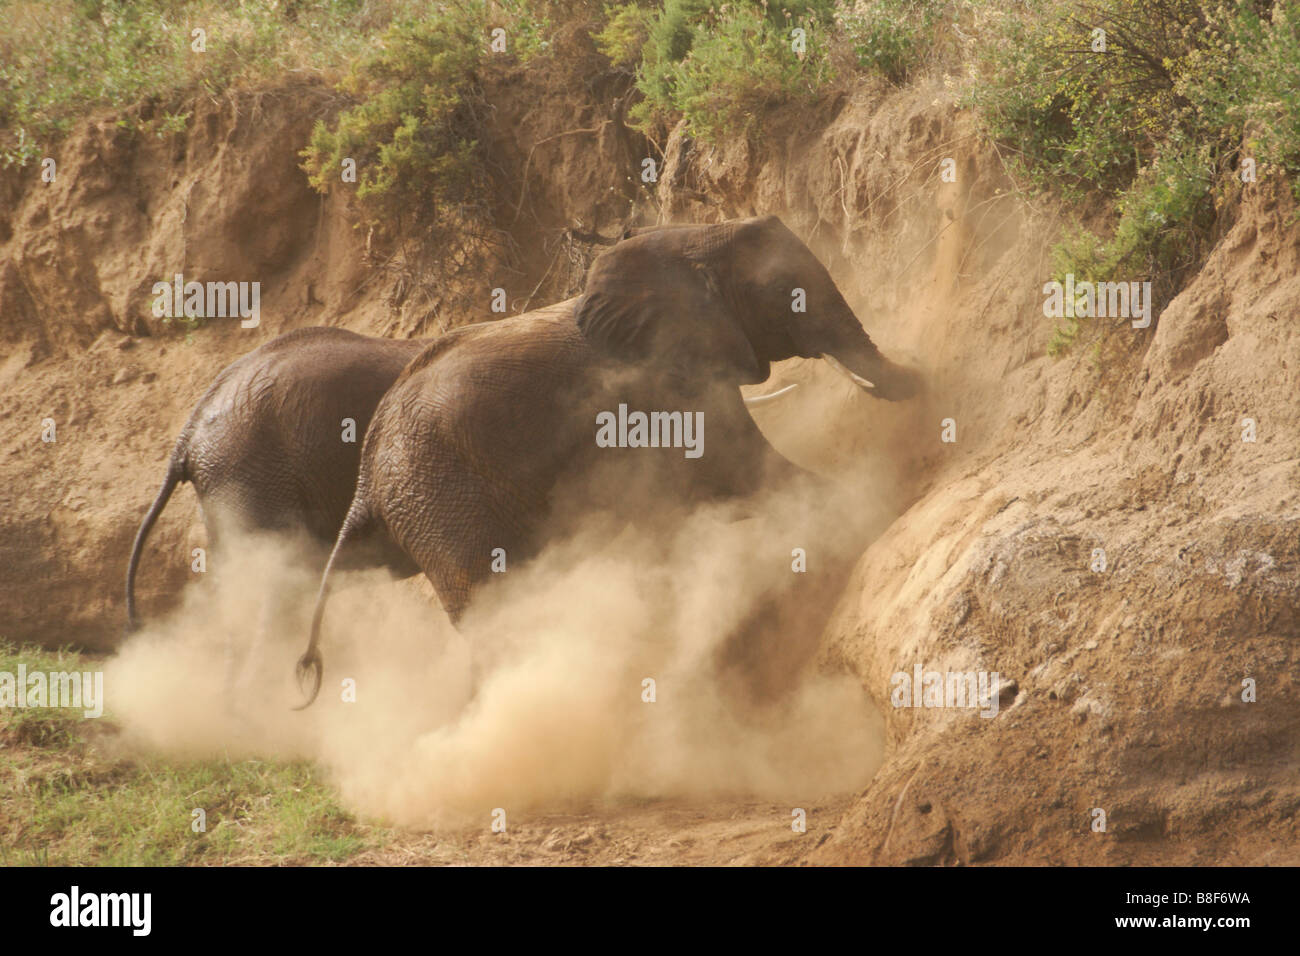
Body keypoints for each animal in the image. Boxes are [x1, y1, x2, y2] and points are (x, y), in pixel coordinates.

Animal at [294, 215, 922, 706]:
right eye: (785, 293)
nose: (930, 375)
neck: (689, 239)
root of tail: (366, 483)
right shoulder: (666, 382)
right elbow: (743, 472)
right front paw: (868, 504)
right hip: (440, 501)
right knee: (491, 604)